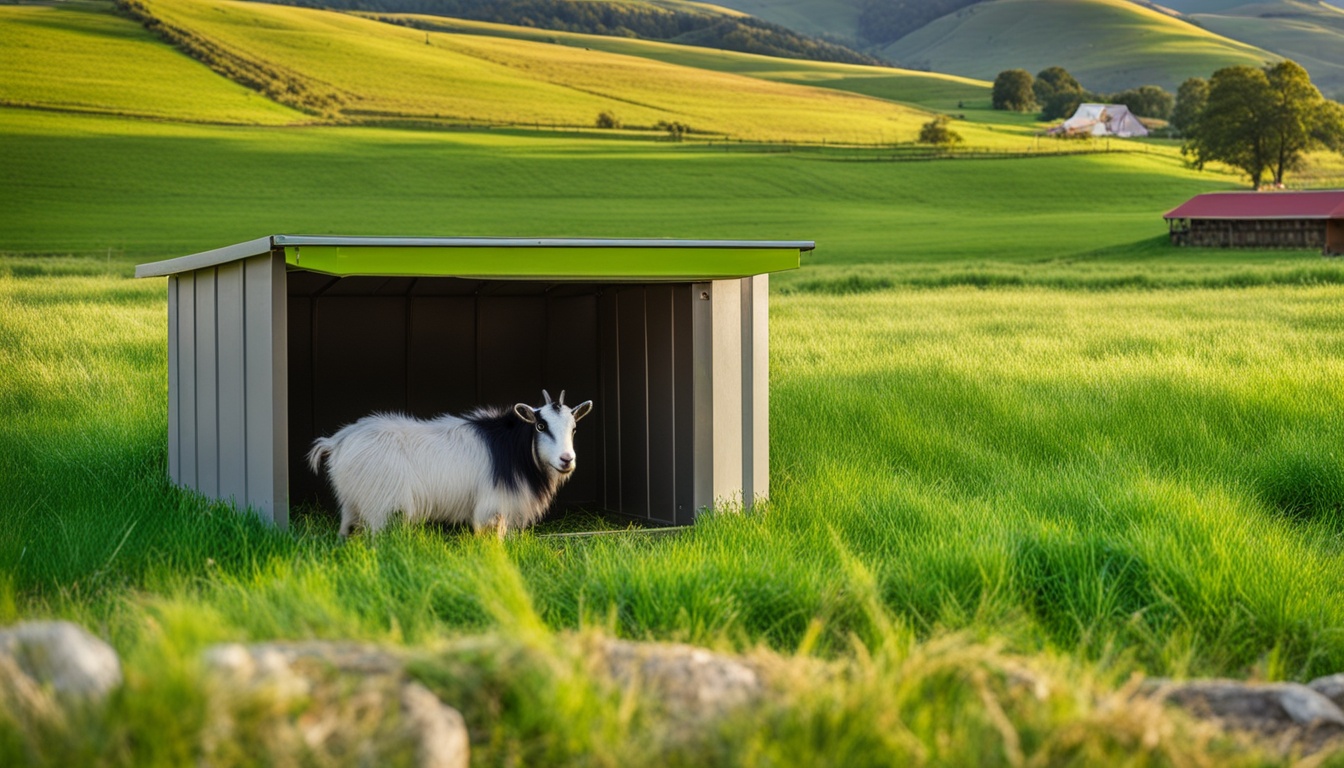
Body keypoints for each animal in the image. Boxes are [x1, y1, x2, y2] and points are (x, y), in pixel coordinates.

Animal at [307, 390, 593, 538]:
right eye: (541, 426)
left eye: (574, 428)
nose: (567, 459)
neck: (515, 447)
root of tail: (339, 440)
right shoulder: (494, 506)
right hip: (379, 505)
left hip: (351, 501)